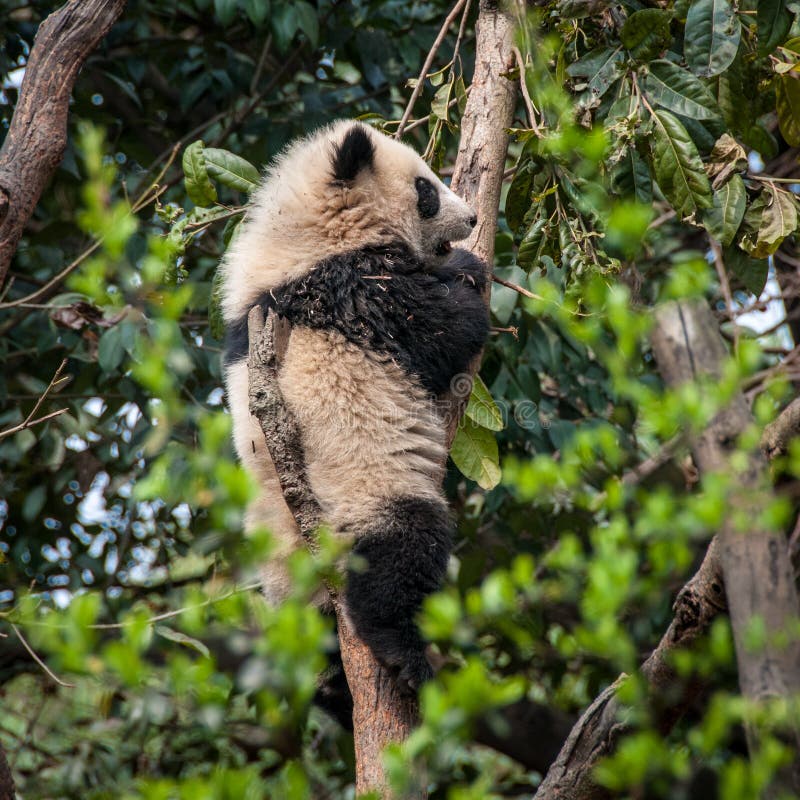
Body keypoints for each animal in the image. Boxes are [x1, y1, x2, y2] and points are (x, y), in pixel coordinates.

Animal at [220, 120, 489, 690]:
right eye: (426, 190)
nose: (474, 219)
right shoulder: (353, 290)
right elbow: (446, 327)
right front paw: (467, 268)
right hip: (363, 491)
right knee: (401, 549)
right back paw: (401, 651)